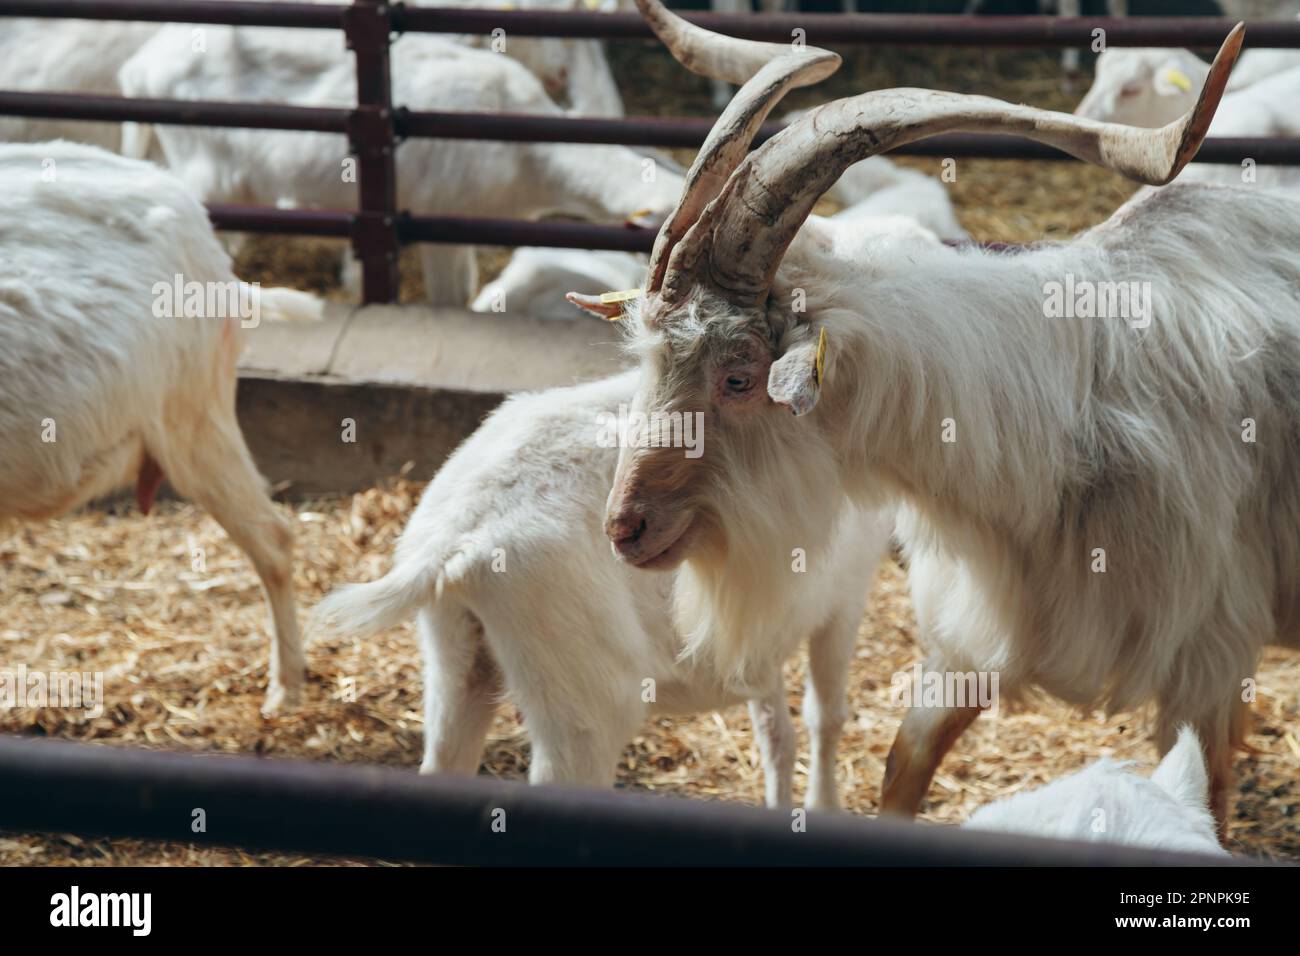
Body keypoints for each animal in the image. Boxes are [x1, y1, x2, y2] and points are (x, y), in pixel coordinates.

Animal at [315, 371, 890, 801]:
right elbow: (825, 718)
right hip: (583, 690)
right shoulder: (845, 597)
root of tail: (455, 541)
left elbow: (777, 733)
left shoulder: (754, 628)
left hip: (455, 657)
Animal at [575, 1, 1291, 835]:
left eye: (739, 377)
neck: (1070, 426)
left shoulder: (1208, 665)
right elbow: (905, 764)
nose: (626, 528)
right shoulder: (971, 640)